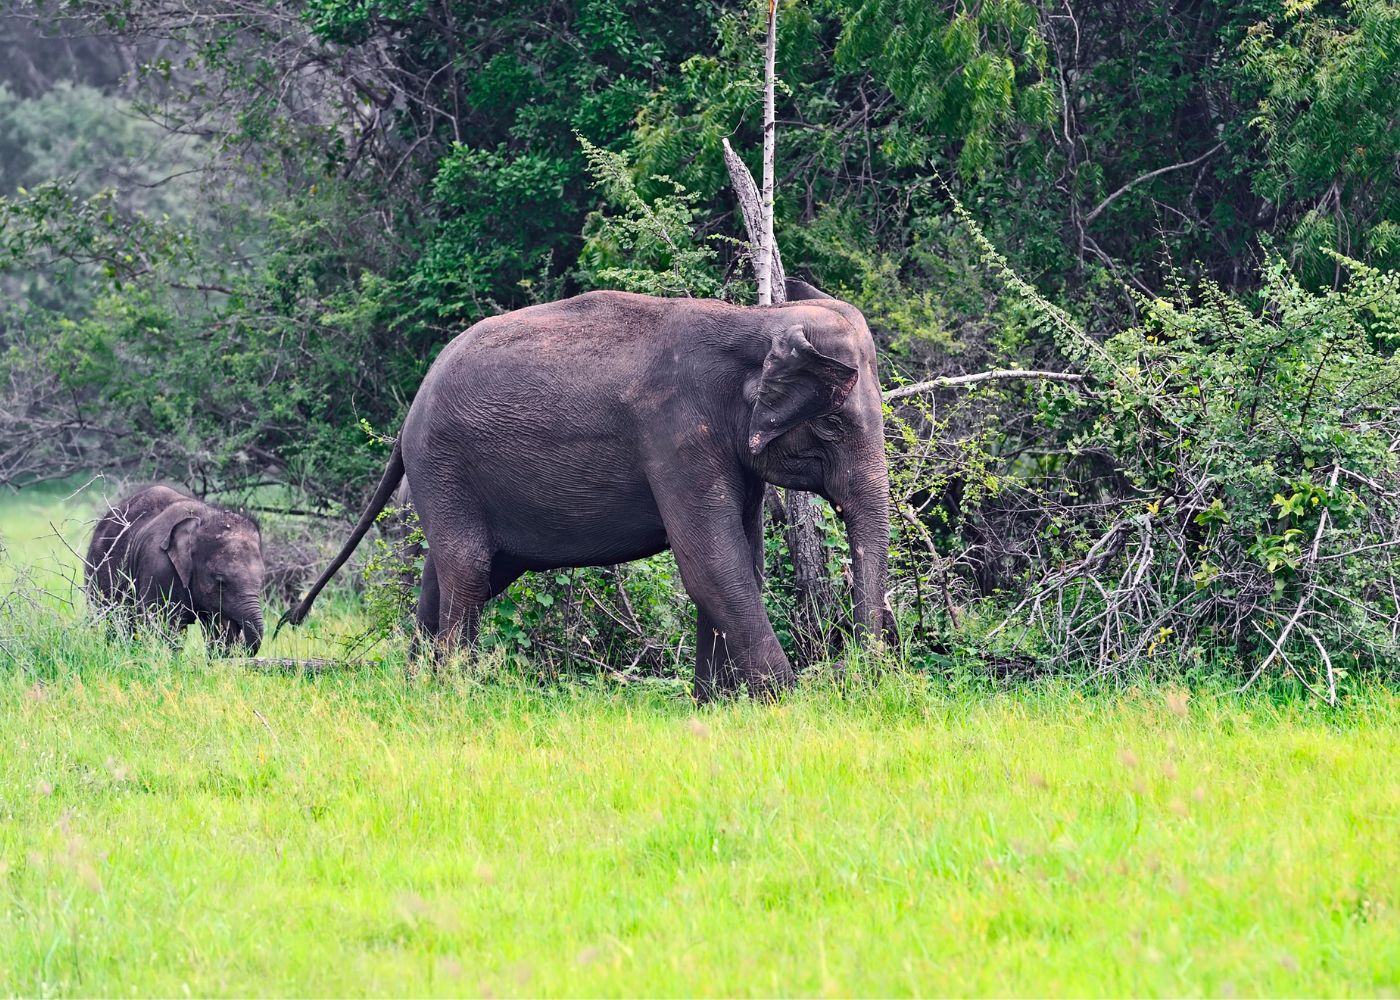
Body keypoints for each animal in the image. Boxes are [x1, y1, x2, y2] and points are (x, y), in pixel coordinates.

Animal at [85, 485, 266, 653]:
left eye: (261, 581)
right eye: (221, 581)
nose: (242, 646)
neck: (201, 518)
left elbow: (219, 630)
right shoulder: (158, 567)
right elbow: (162, 623)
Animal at [282, 278, 893, 699]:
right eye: (831, 424)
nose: (857, 674)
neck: (755, 321)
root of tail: (413, 406)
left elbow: (742, 559)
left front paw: (718, 706)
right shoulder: (675, 434)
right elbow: (713, 564)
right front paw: (785, 702)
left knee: (455, 573)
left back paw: (418, 685)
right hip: (442, 464)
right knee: (468, 569)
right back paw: (455, 692)